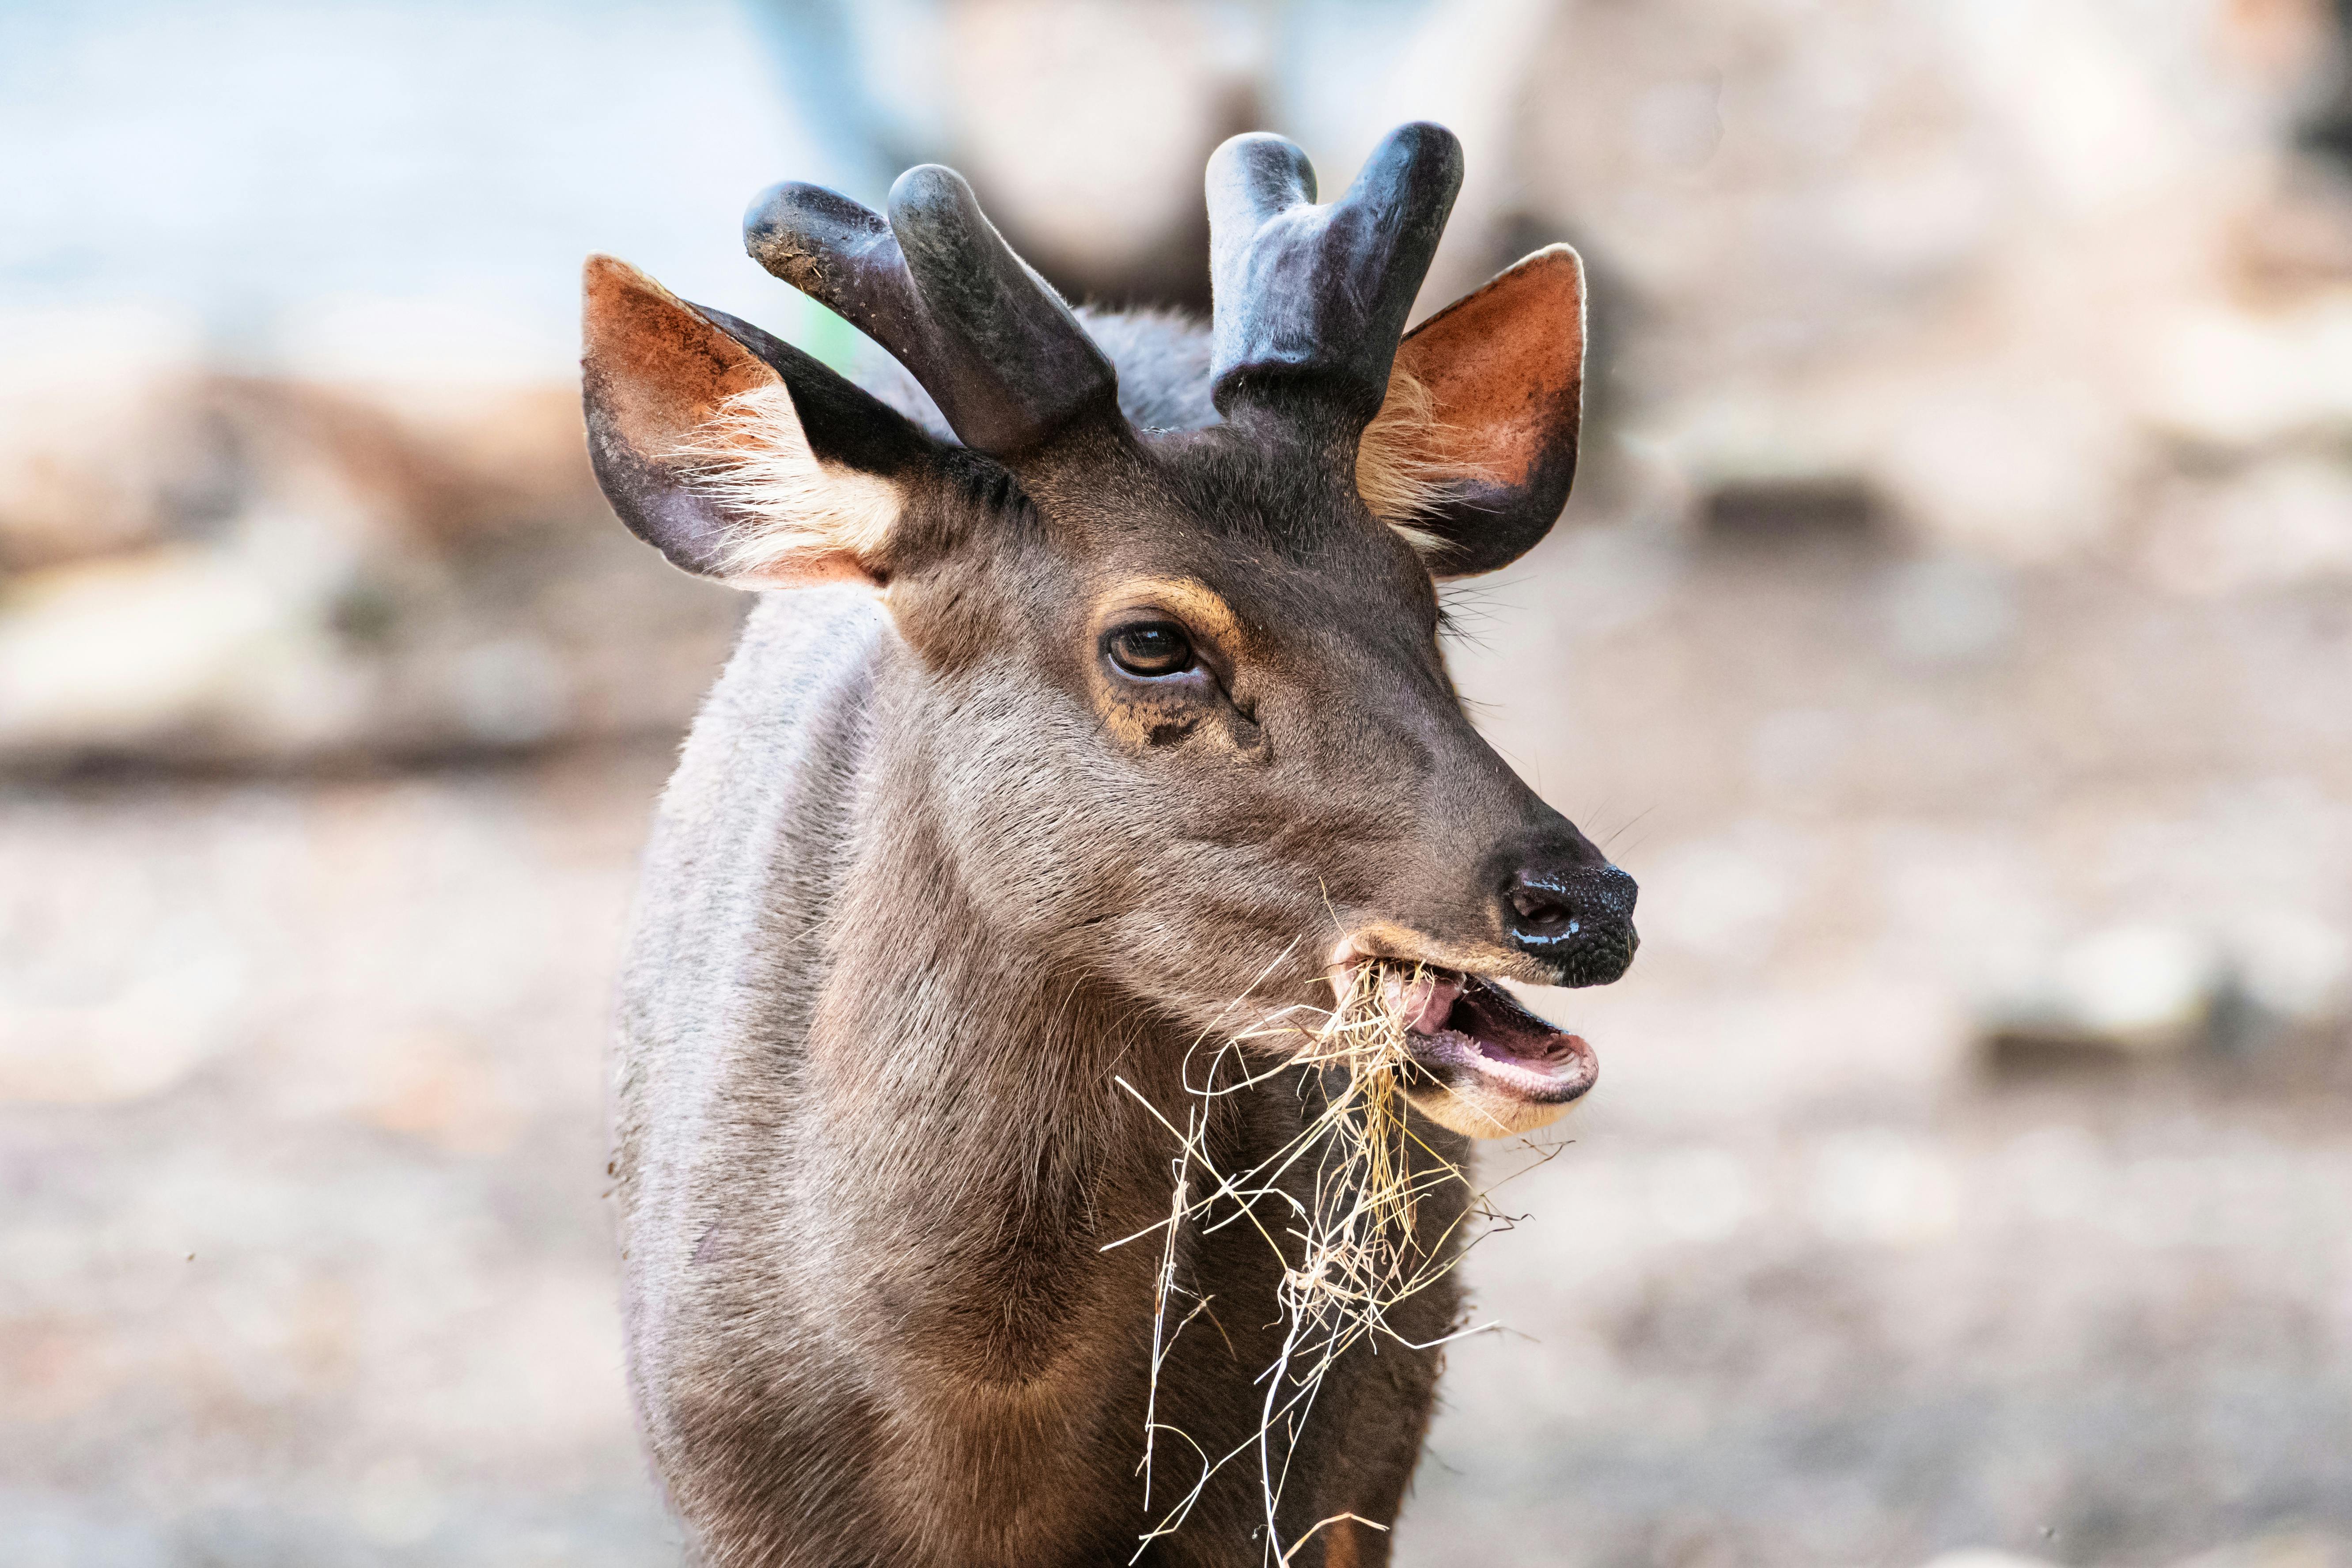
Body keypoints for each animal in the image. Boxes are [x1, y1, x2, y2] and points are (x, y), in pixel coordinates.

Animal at [581, 121, 1638, 1568]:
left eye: (1423, 607)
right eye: (1151, 640)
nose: (1583, 901)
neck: (985, 1450)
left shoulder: (1304, 1486)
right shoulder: (728, 1499)